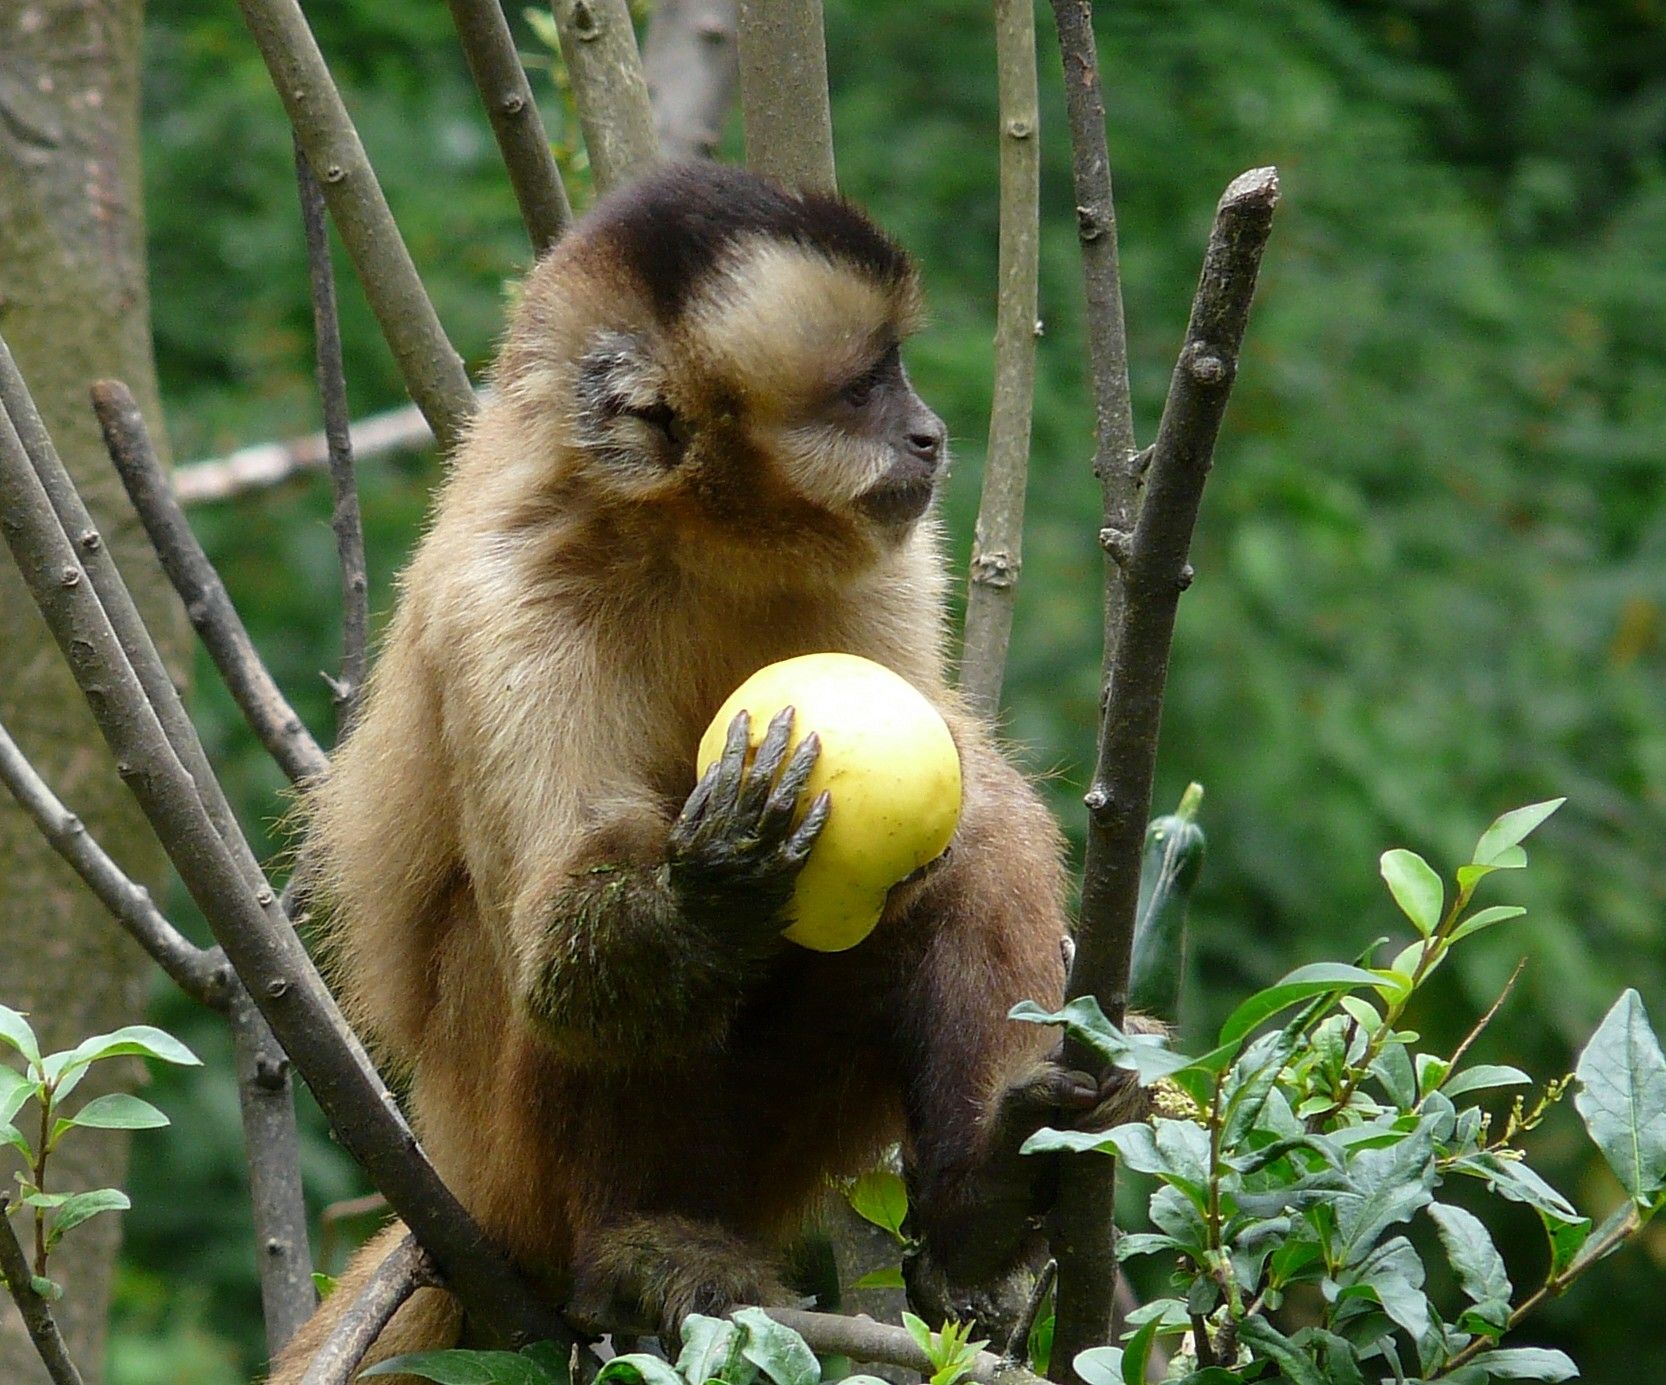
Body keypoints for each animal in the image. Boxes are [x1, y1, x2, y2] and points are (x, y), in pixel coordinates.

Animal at [272, 163, 1135, 1380]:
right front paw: (721, 879)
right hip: (512, 1168)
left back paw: (986, 1197)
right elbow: (559, 948)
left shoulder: (892, 557)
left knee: (964, 857)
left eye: (898, 376)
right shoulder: (509, 601)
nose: (927, 433)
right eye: (864, 389)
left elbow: (976, 819)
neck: (689, 534)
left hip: (775, 1151)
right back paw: (640, 1247)